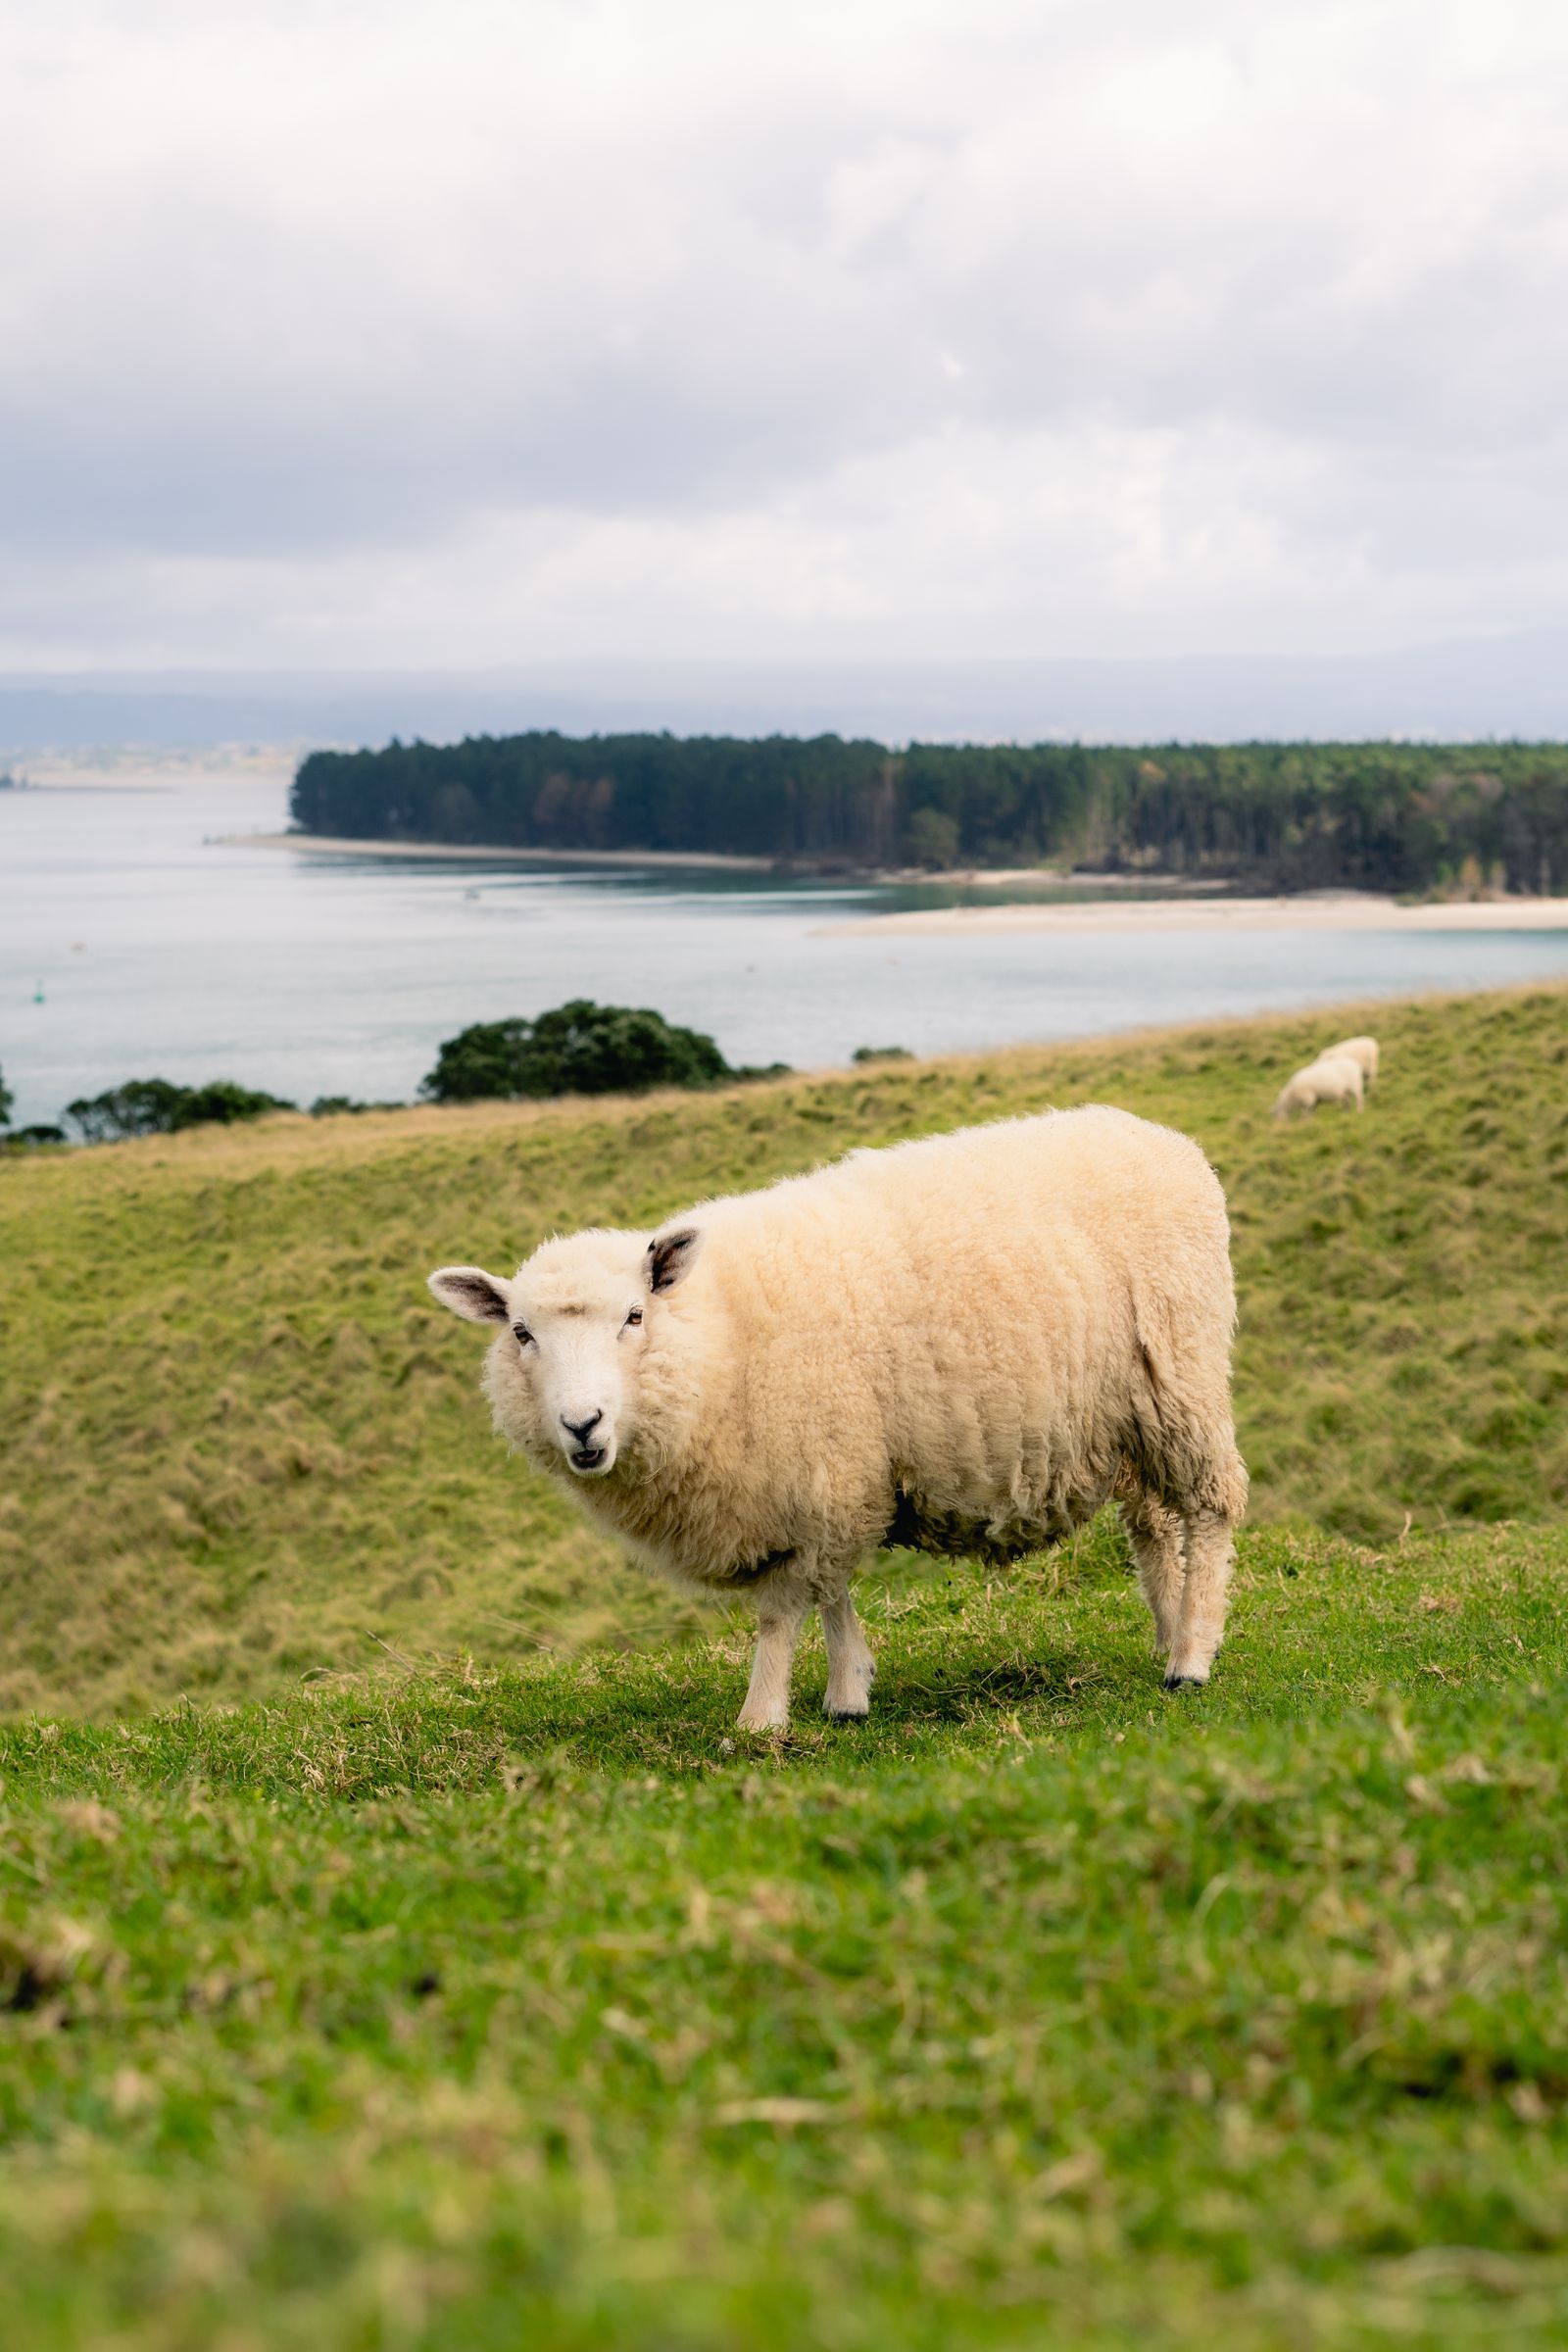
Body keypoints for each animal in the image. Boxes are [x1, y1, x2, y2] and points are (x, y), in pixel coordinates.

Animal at [429, 1106, 1248, 1732]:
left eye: (633, 1315)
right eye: (522, 1333)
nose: (583, 1424)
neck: (717, 1334)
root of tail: (1161, 1138)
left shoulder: (818, 1470)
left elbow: (785, 1605)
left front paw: (764, 1716)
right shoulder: (829, 1477)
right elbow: (832, 1590)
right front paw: (850, 1687)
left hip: (1182, 1371)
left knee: (1209, 1507)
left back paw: (1194, 1657)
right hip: (1128, 1417)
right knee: (1154, 1525)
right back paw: (1168, 1631)